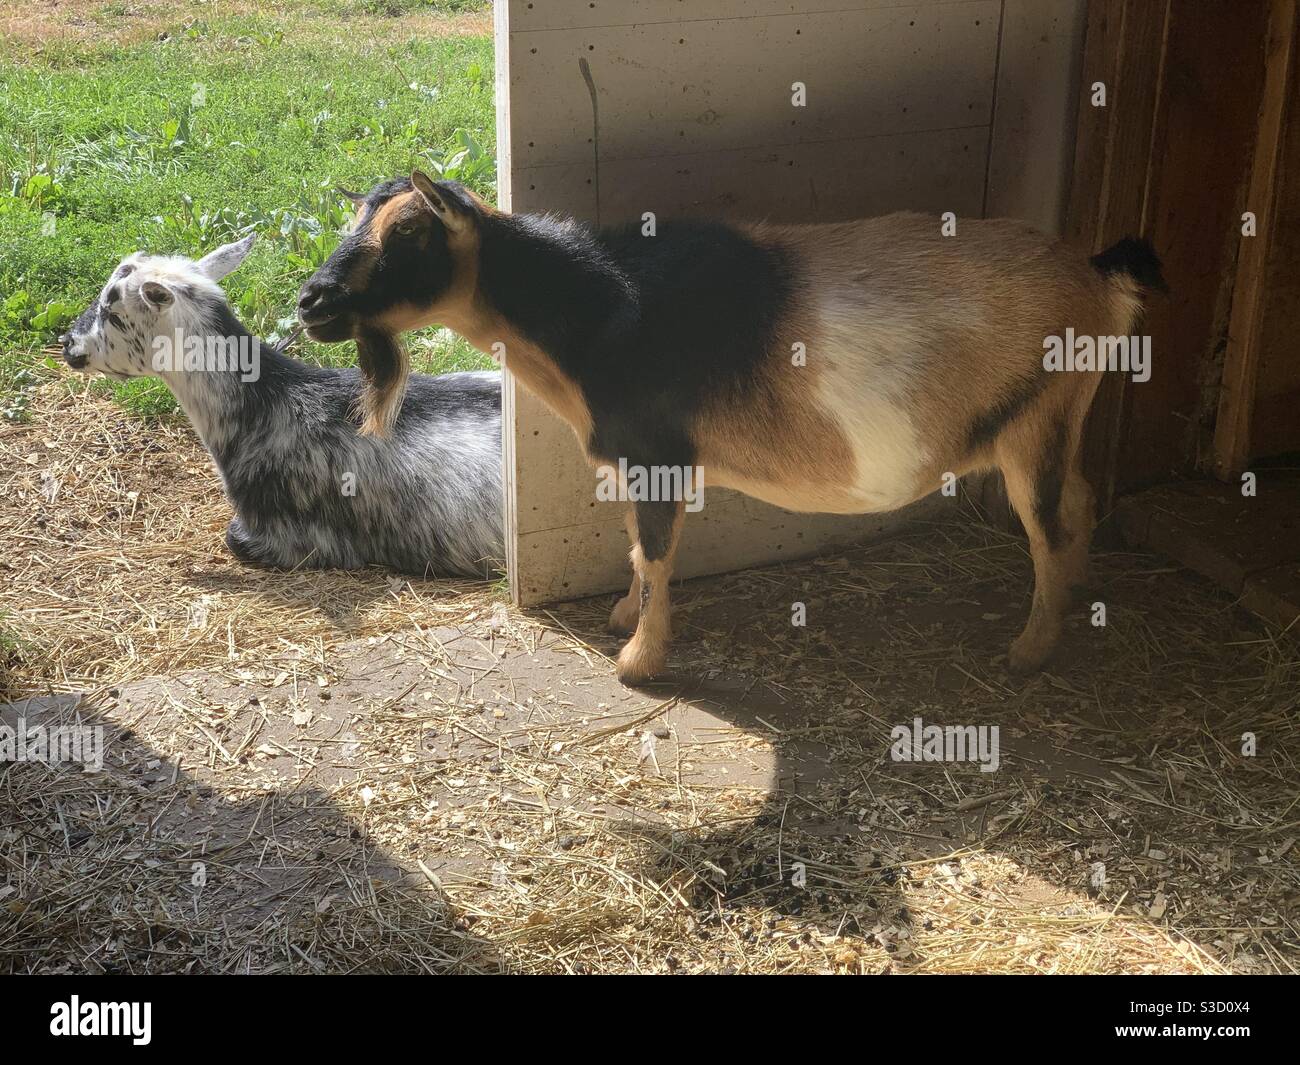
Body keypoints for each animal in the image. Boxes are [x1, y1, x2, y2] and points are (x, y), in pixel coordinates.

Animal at [298, 173, 1164, 683]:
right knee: (1079, 503)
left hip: (1033, 425)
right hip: (1056, 416)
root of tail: (1098, 275)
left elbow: (656, 549)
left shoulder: (661, 454)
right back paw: (1070, 601)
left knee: (1051, 523)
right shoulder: (633, 459)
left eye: (410, 232)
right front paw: (624, 617)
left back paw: (1029, 650)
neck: (601, 306)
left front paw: (638, 660)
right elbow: (633, 544)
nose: (311, 302)